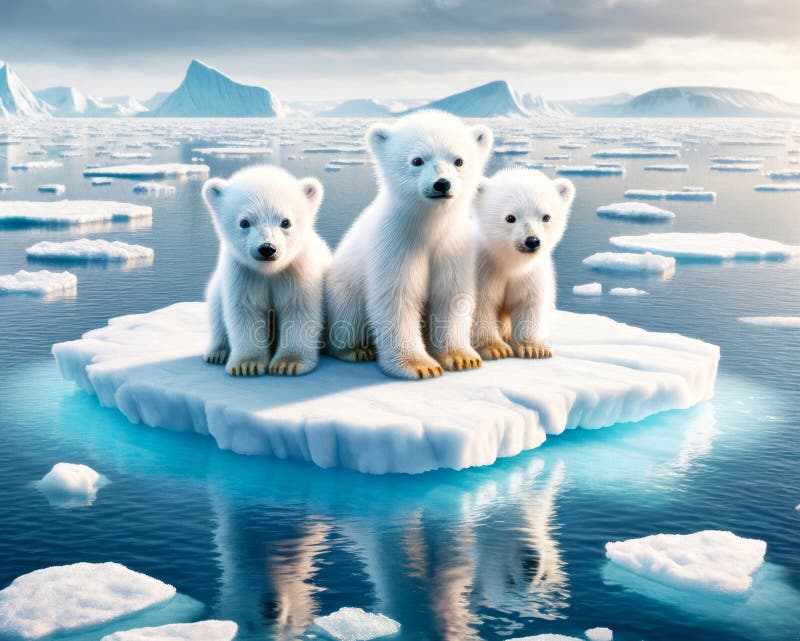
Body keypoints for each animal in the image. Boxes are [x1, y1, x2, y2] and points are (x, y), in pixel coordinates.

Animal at [202, 165, 331, 376]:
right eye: (244, 222)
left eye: (285, 222)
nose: (267, 248)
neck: (269, 271)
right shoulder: (244, 273)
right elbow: (245, 310)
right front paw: (247, 365)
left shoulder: (297, 271)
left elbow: (297, 309)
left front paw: (288, 364)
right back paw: (217, 353)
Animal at [325, 110, 493, 379]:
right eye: (417, 160)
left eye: (458, 160)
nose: (442, 184)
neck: (428, 227)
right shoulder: (395, 244)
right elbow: (397, 297)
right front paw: (420, 365)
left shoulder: (453, 246)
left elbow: (451, 294)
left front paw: (462, 357)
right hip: (343, 293)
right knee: (347, 320)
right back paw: (356, 350)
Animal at [471, 168, 575, 360]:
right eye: (510, 217)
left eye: (546, 217)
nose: (532, 241)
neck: (511, 263)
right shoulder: (482, 269)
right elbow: (480, 306)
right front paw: (495, 348)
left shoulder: (531, 275)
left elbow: (530, 304)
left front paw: (533, 348)